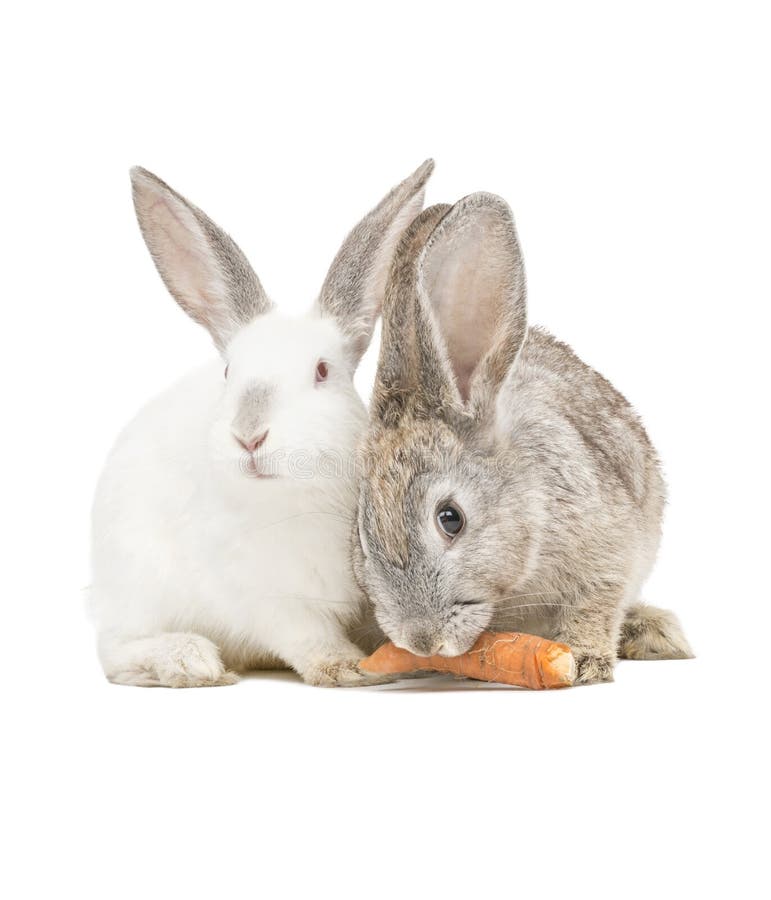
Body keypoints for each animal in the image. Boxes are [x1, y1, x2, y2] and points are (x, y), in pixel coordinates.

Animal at [89, 159, 433, 687]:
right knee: (115, 652)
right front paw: (347, 667)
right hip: (138, 588)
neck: (293, 499)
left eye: (322, 371)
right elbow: (306, 636)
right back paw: (187, 661)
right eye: (229, 372)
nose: (249, 436)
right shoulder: (268, 601)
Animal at [353, 192, 693, 684]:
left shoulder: (609, 555)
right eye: (362, 535)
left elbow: (595, 605)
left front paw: (582, 660)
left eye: (451, 518)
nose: (421, 641)